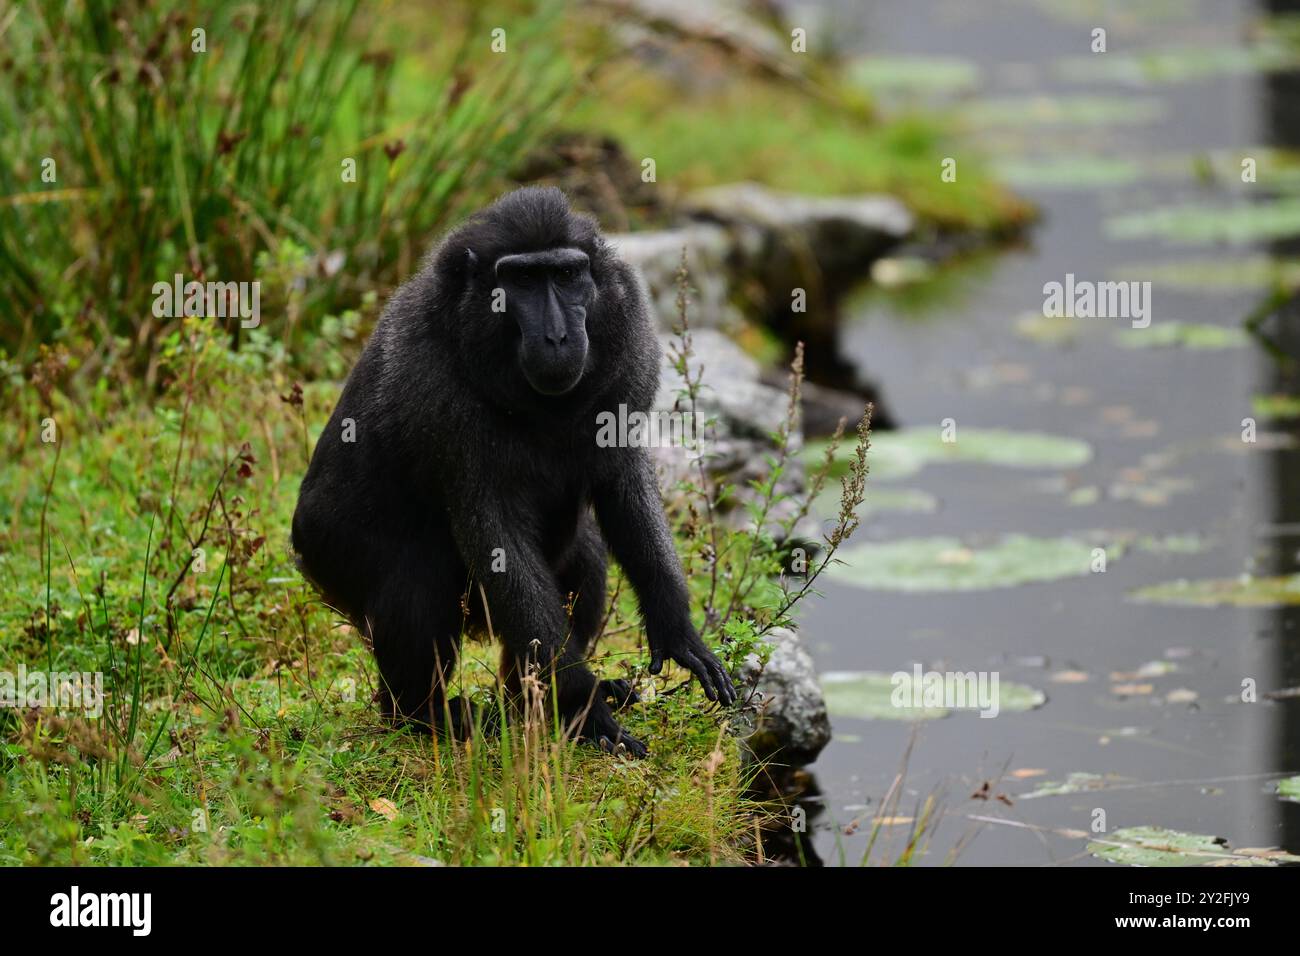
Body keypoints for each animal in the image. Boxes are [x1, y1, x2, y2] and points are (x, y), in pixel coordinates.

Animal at [291, 186, 736, 757]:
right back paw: (424, 714)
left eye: (566, 275)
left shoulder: (629, 336)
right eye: (521, 280)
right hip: (331, 556)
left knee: (584, 558)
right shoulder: (433, 381)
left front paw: (675, 628)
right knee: (418, 575)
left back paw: (524, 701)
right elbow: (497, 538)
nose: (557, 337)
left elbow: (621, 482)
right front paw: (583, 707)